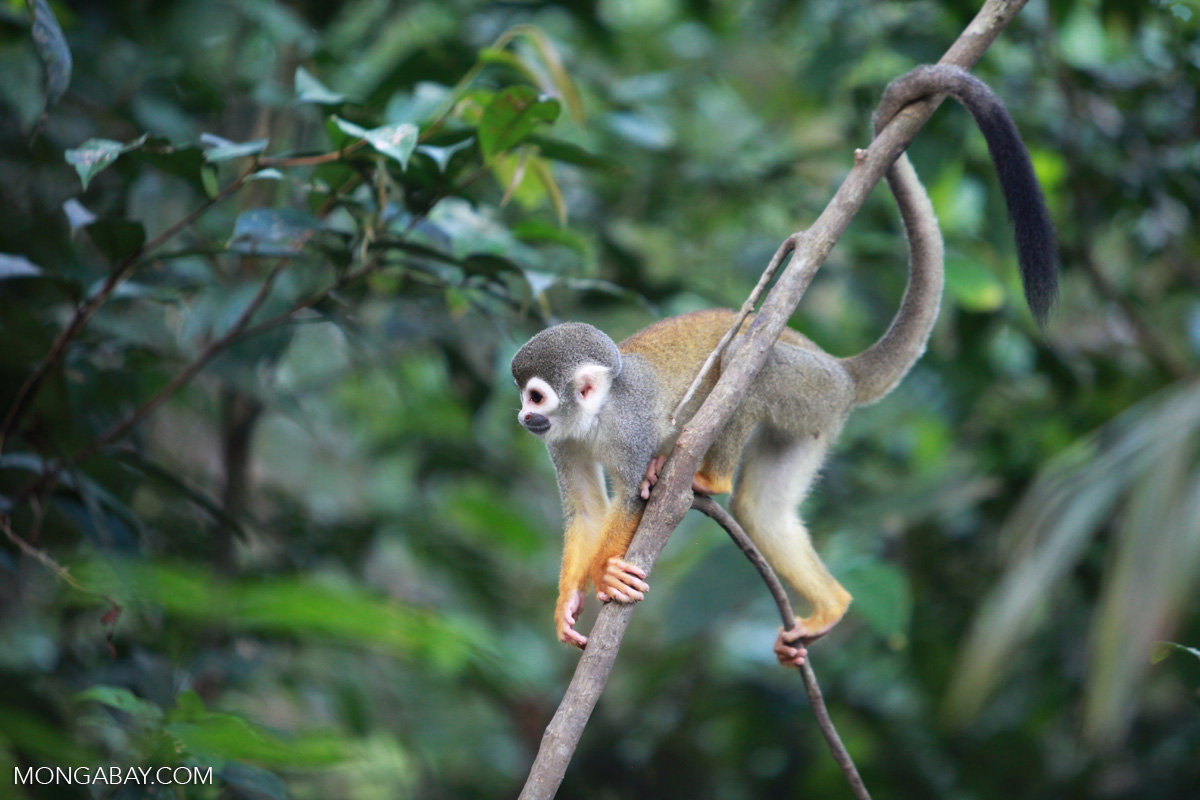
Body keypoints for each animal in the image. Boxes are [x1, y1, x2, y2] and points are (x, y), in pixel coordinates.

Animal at [511, 65, 1058, 664]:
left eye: (535, 396)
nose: (522, 418)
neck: (595, 416)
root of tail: (841, 371)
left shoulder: (629, 426)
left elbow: (630, 496)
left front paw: (608, 572)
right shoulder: (559, 441)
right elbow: (587, 511)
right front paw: (568, 603)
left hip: (806, 385)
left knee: (747, 368)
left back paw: (708, 476)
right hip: (816, 419)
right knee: (761, 507)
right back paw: (833, 604)